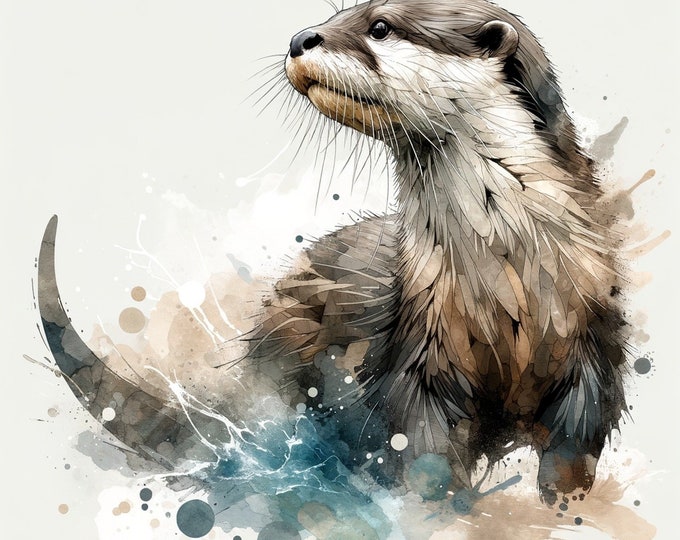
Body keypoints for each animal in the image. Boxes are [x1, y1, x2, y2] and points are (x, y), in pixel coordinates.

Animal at [37, 0, 627, 509]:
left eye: (381, 26)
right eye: (340, 12)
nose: (300, 38)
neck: (505, 281)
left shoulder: (593, 331)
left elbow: (579, 432)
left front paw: (564, 498)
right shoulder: (414, 345)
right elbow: (420, 443)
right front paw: (441, 502)